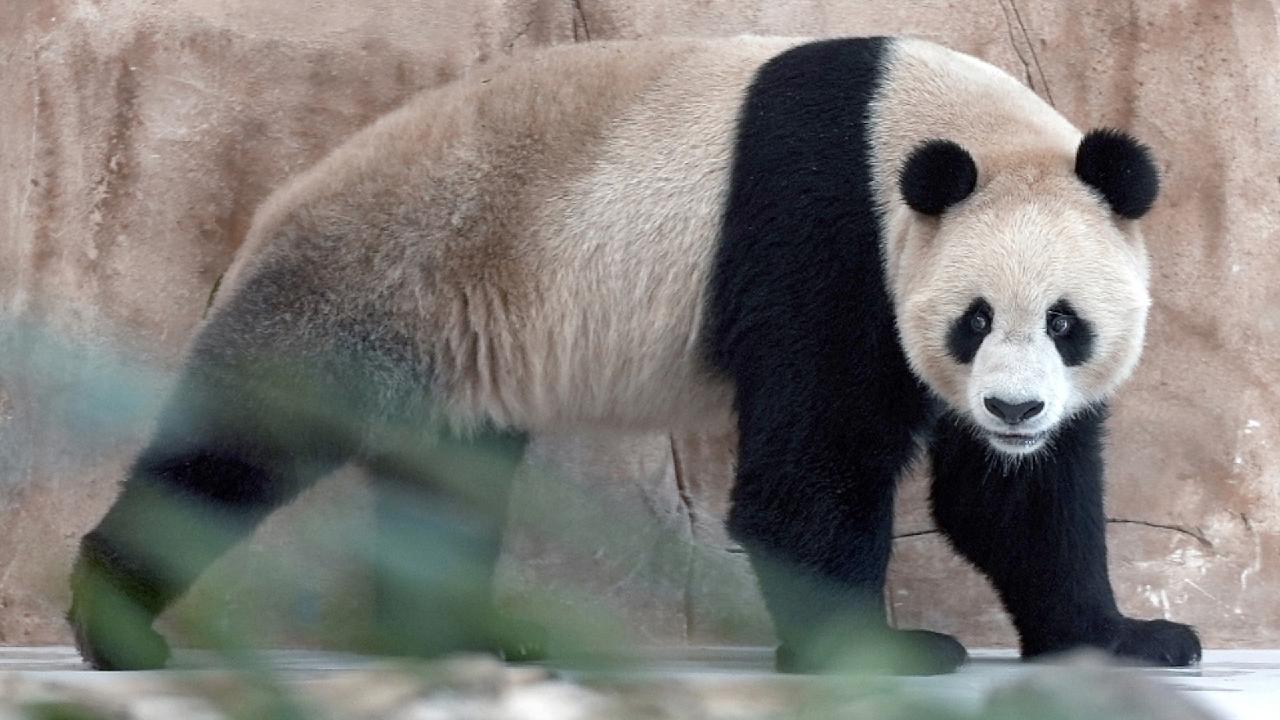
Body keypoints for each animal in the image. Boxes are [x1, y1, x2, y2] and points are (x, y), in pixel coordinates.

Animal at [69, 35, 1202, 673]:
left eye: (1065, 324)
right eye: (973, 319)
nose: (1012, 411)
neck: (918, 126)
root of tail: (273, 210)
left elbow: (1013, 503)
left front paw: (1125, 634)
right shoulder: (823, 238)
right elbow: (810, 476)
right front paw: (882, 650)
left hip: (448, 344)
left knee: (447, 490)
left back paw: (461, 638)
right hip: (373, 282)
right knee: (241, 444)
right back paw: (114, 630)